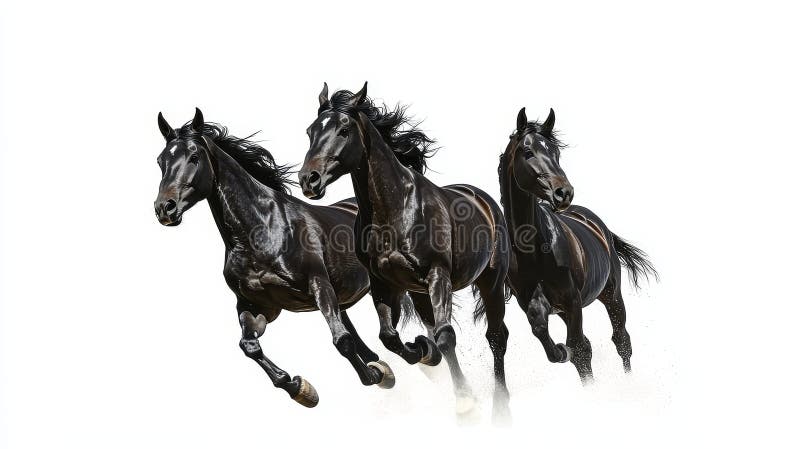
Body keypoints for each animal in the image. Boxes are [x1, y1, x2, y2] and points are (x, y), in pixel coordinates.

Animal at [152, 108, 400, 408]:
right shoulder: (257, 305)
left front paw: (374, 376)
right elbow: (249, 346)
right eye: (161, 161)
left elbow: (341, 340)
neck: (262, 233)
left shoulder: (319, 285)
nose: (164, 209)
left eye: (194, 157)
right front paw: (301, 389)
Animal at [298, 83, 512, 421]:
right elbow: (391, 337)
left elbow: (446, 337)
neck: (395, 209)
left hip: (490, 280)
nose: (309, 179)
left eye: (344, 129)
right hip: (421, 292)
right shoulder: (387, 284)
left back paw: (500, 405)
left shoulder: (438, 275)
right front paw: (422, 352)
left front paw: (465, 401)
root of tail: (485, 200)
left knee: (496, 337)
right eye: (310, 131)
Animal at [498, 107, 657, 383]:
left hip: (612, 294)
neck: (533, 249)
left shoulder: (573, 301)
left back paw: (628, 381)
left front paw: (566, 351)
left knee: (621, 340)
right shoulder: (532, 304)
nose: (564, 193)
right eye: (528, 152)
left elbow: (579, 347)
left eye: (556, 152)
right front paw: (561, 351)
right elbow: (548, 335)